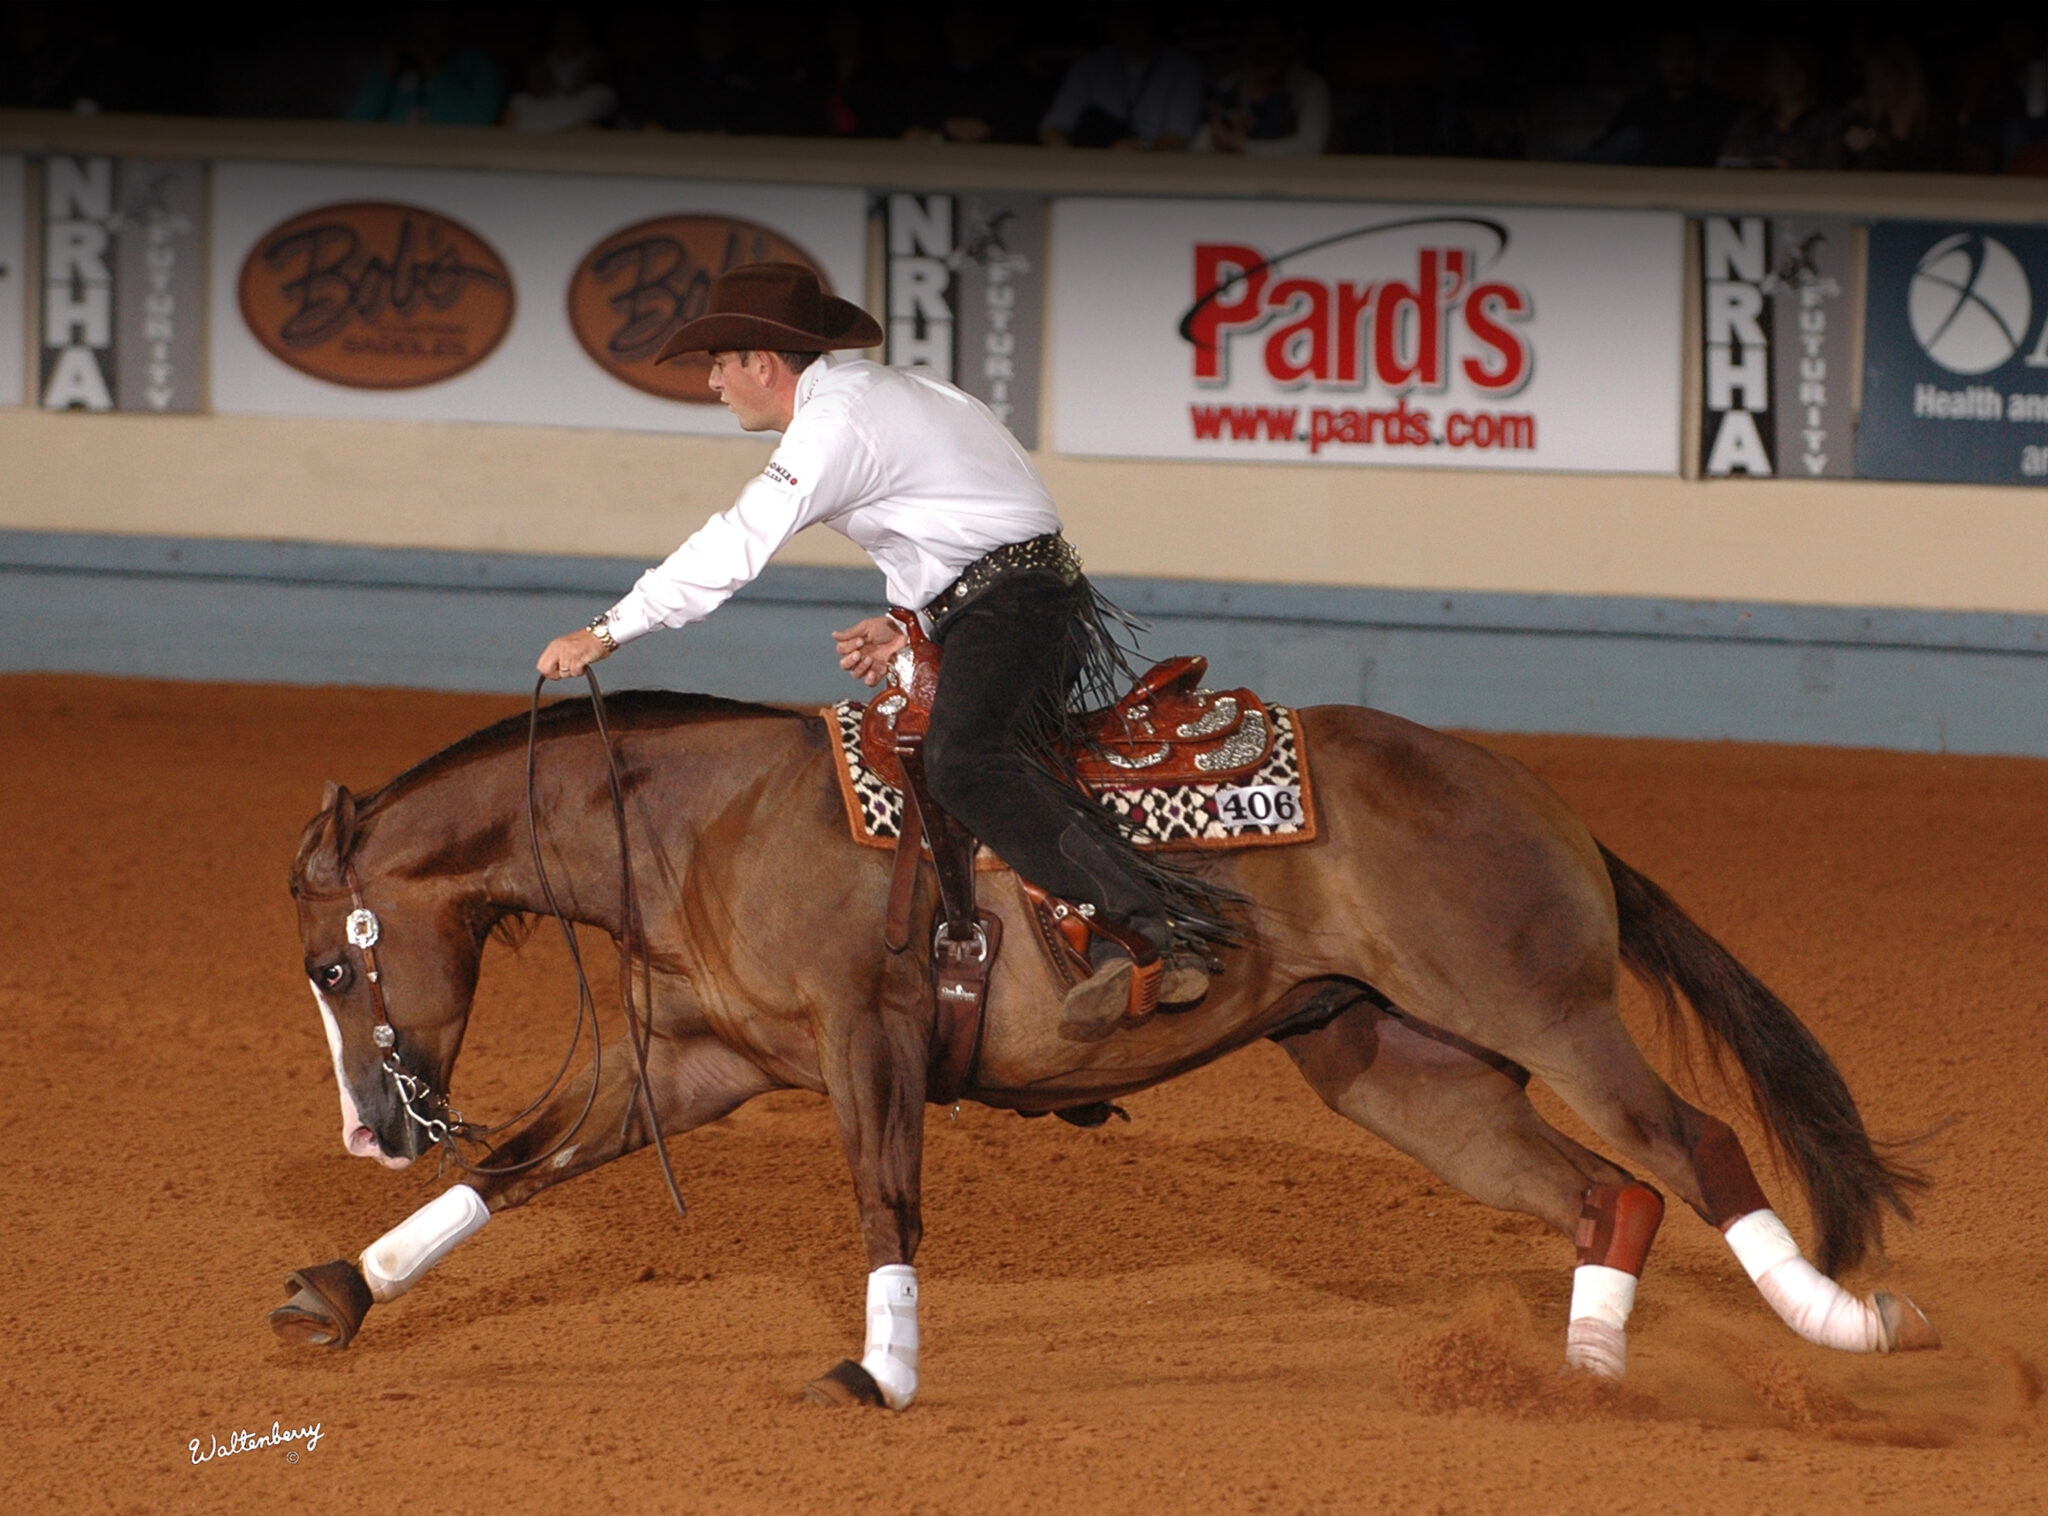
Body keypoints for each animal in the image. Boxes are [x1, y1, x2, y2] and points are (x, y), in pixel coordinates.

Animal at [273, 689, 1936, 1408]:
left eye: (330, 964)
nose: (366, 1131)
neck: (708, 820)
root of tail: (1547, 805)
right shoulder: (686, 1064)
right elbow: (515, 1168)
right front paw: (336, 1293)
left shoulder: (868, 1039)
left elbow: (886, 1201)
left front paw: (880, 1372)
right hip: (1403, 1068)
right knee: (1613, 1194)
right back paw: (1584, 1378)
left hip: (1543, 1009)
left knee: (1693, 1148)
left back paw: (1854, 1328)